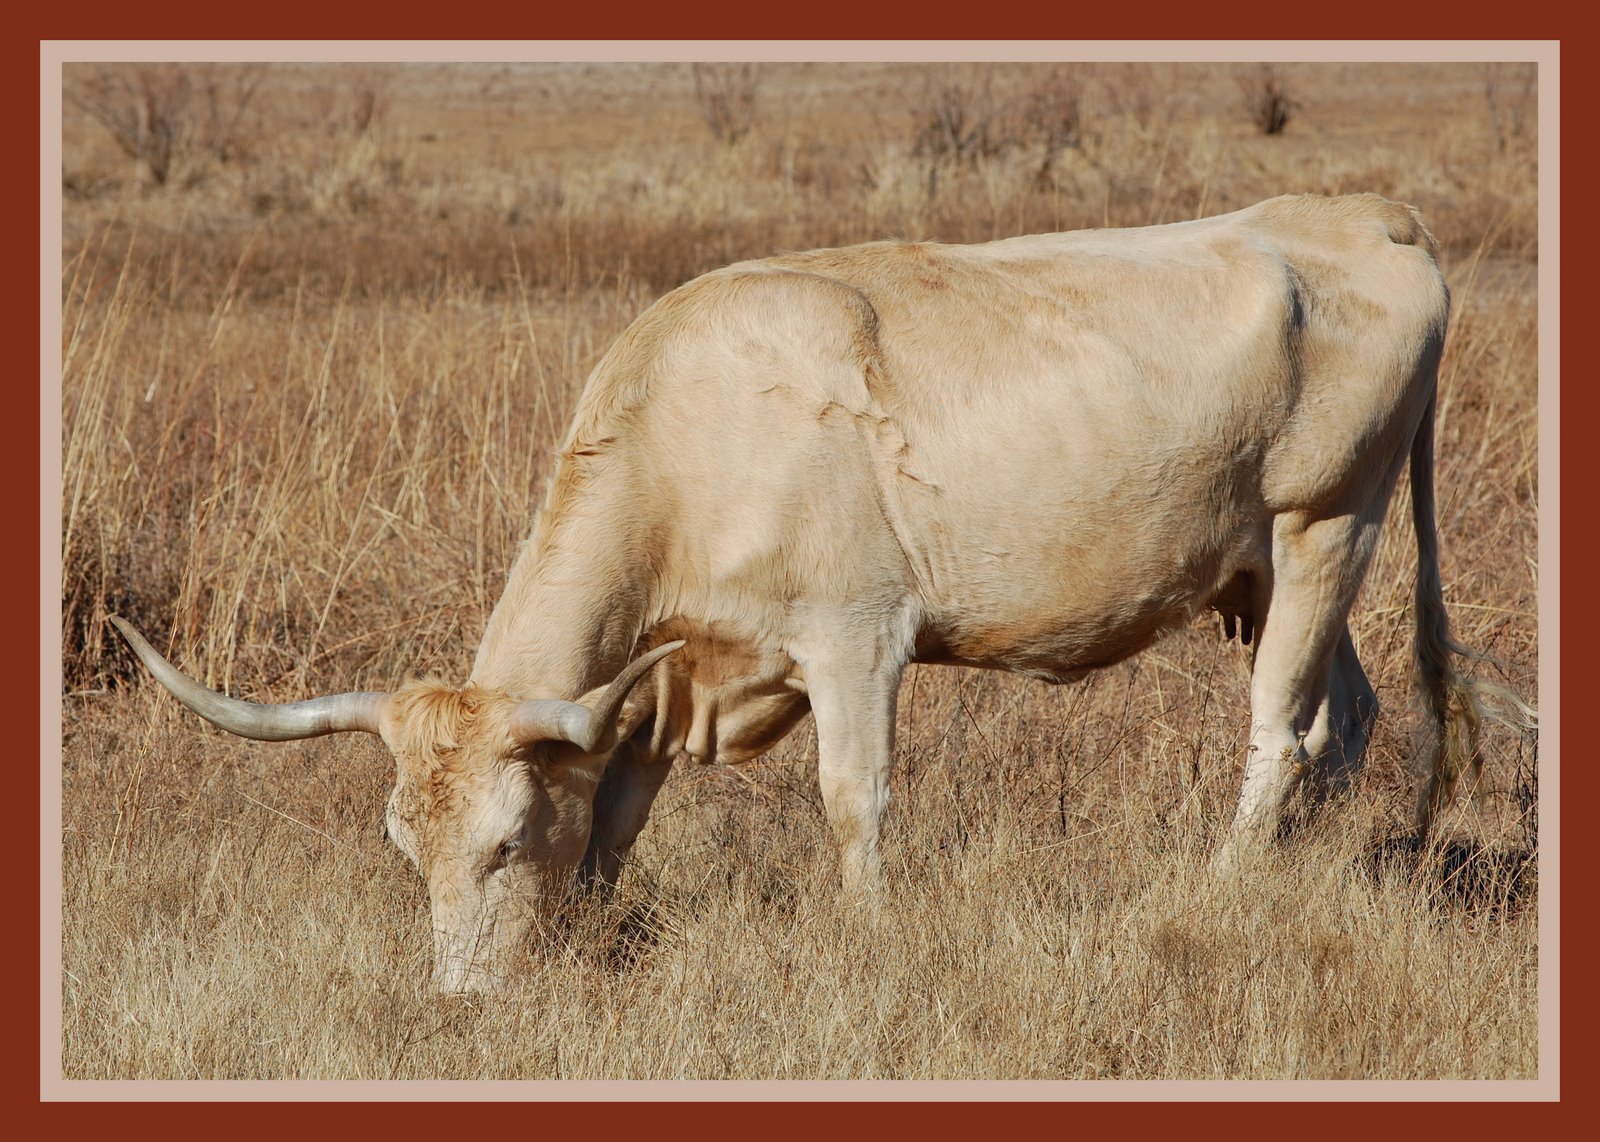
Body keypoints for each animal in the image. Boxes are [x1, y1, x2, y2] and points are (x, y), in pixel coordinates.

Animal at [112, 192, 1484, 993]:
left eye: (502, 840)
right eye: (407, 846)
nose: (463, 1001)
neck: (688, 434)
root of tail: (1365, 213)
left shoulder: (854, 640)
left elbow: (850, 800)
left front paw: (868, 940)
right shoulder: (662, 679)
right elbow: (615, 821)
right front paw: (593, 935)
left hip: (1327, 524)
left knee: (1277, 731)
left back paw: (1223, 886)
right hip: (1266, 568)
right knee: (1339, 719)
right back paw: (1299, 874)